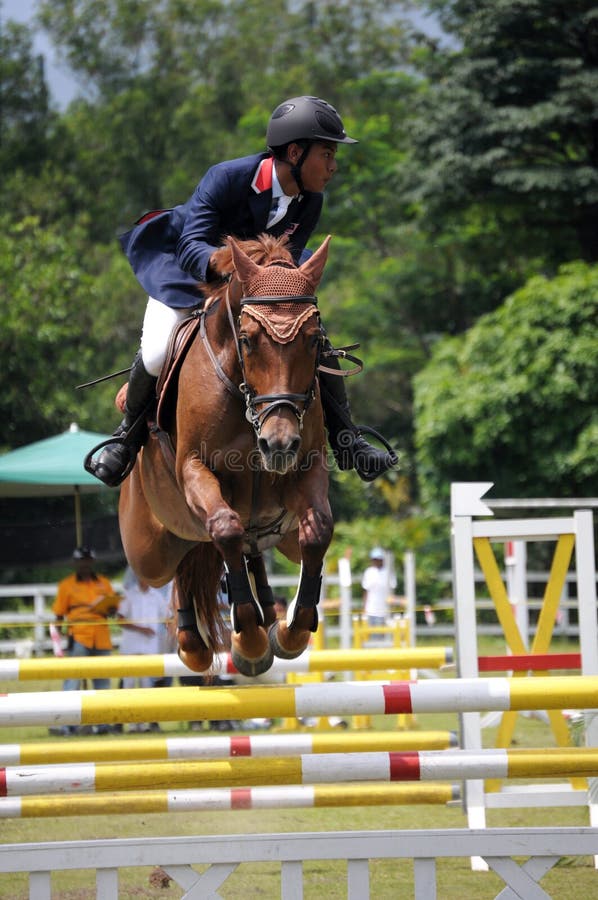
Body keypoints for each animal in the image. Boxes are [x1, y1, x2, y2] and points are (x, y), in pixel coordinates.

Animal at [118, 233, 334, 677]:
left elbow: (318, 531)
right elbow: (226, 528)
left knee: (248, 553)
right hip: (148, 550)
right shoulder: (194, 470)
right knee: (184, 559)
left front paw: (291, 632)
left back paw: (269, 616)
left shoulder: (307, 468)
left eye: (314, 339)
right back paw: (194, 643)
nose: (279, 444)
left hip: (275, 533)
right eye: (247, 339)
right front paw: (249, 639)